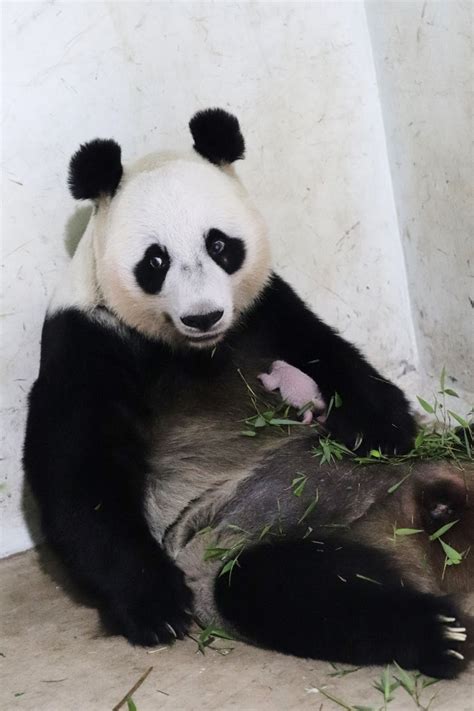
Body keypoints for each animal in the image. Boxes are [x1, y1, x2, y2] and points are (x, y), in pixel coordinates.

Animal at [23, 108, 471, 680]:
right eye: (155, 261)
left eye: (219, 245)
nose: (203, 315)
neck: (193, 352)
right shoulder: (87, 340)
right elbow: (79, 476)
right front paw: (156, 608)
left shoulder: (265, 310)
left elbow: (329, 353)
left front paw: (384, 429)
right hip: (247, 543)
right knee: (292, 591)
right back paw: (437, 632)